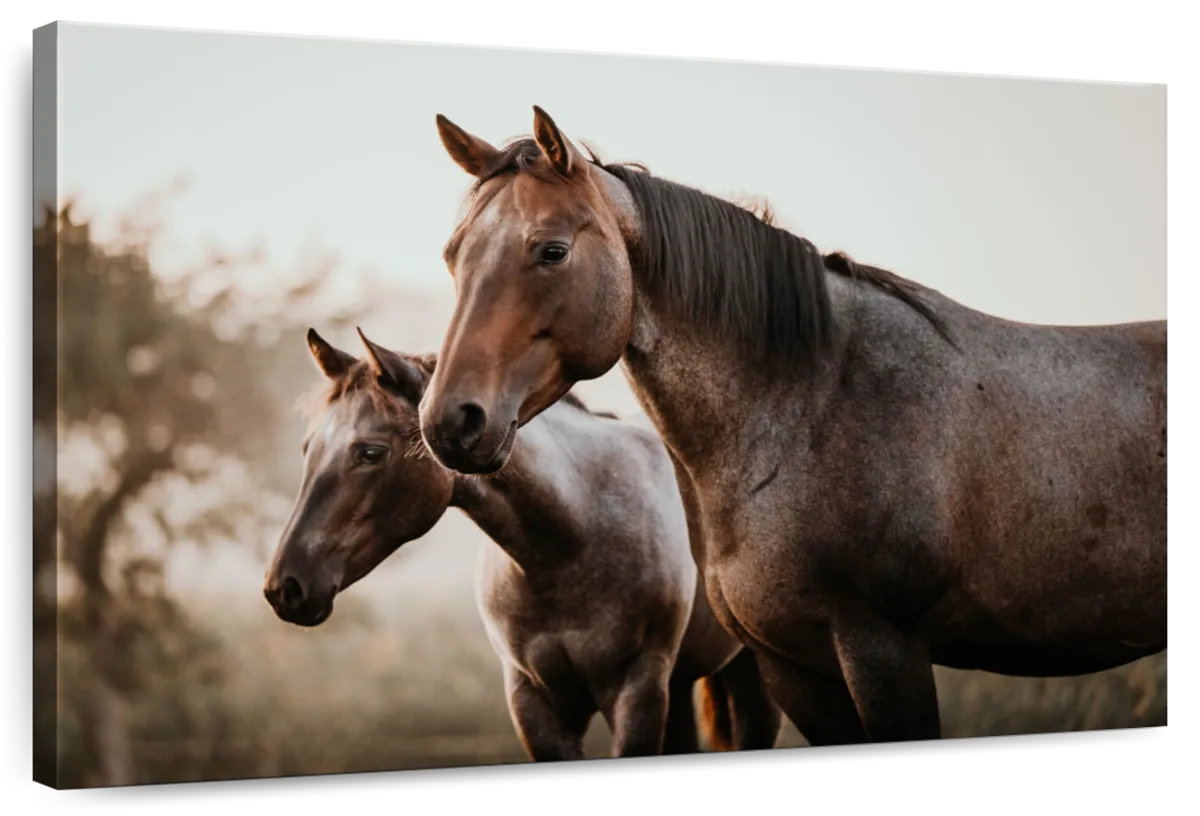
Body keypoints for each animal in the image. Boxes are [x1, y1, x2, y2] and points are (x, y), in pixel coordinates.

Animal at [263, 328, 782, 759]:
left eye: (371, 452)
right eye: (308, 448)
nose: (284, 587)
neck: (571, 545)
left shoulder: (636, 691)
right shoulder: (533, 702)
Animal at [417, 106, 1167, 744]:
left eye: (550, 251)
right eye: (453, 255)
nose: (450, 421)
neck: (811, 405)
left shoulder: (885, 649)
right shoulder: (792, 665)